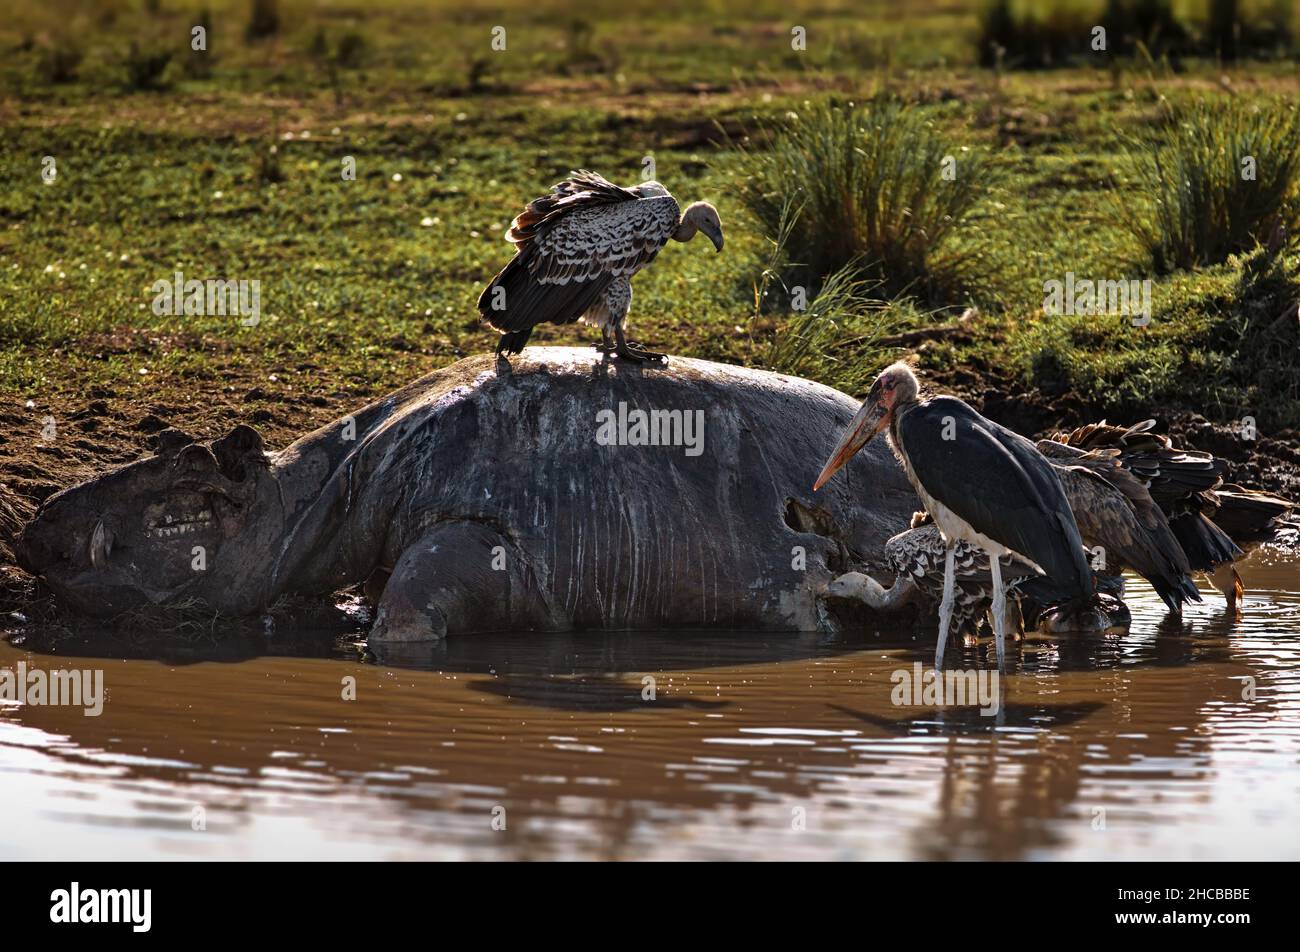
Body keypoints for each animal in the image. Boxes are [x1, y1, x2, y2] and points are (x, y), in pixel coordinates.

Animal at [16, 348, 920, 639]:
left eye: (184, 475)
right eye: (164, 443)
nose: (38, 522)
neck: (319, 495)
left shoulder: (472, 545)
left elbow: (402, 622)